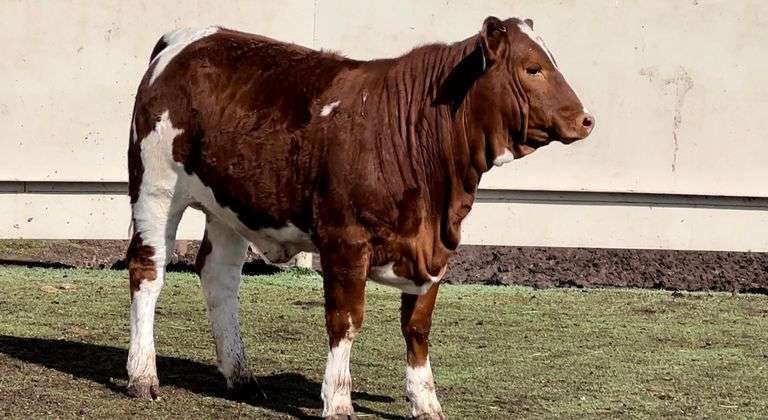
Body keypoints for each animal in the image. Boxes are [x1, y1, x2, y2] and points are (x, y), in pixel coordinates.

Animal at [126, 16, 594, 419]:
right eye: (532, 68)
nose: (585, 119)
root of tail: (185, 38)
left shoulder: (435, 252)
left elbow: (417, 328)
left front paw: (426, 403)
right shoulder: (344, 241)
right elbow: (345, 321)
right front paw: (337, 401)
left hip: (228, 207)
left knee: (219, 278)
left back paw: (241, 377)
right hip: (155, 188)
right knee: (148, 271)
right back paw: (142, 375)